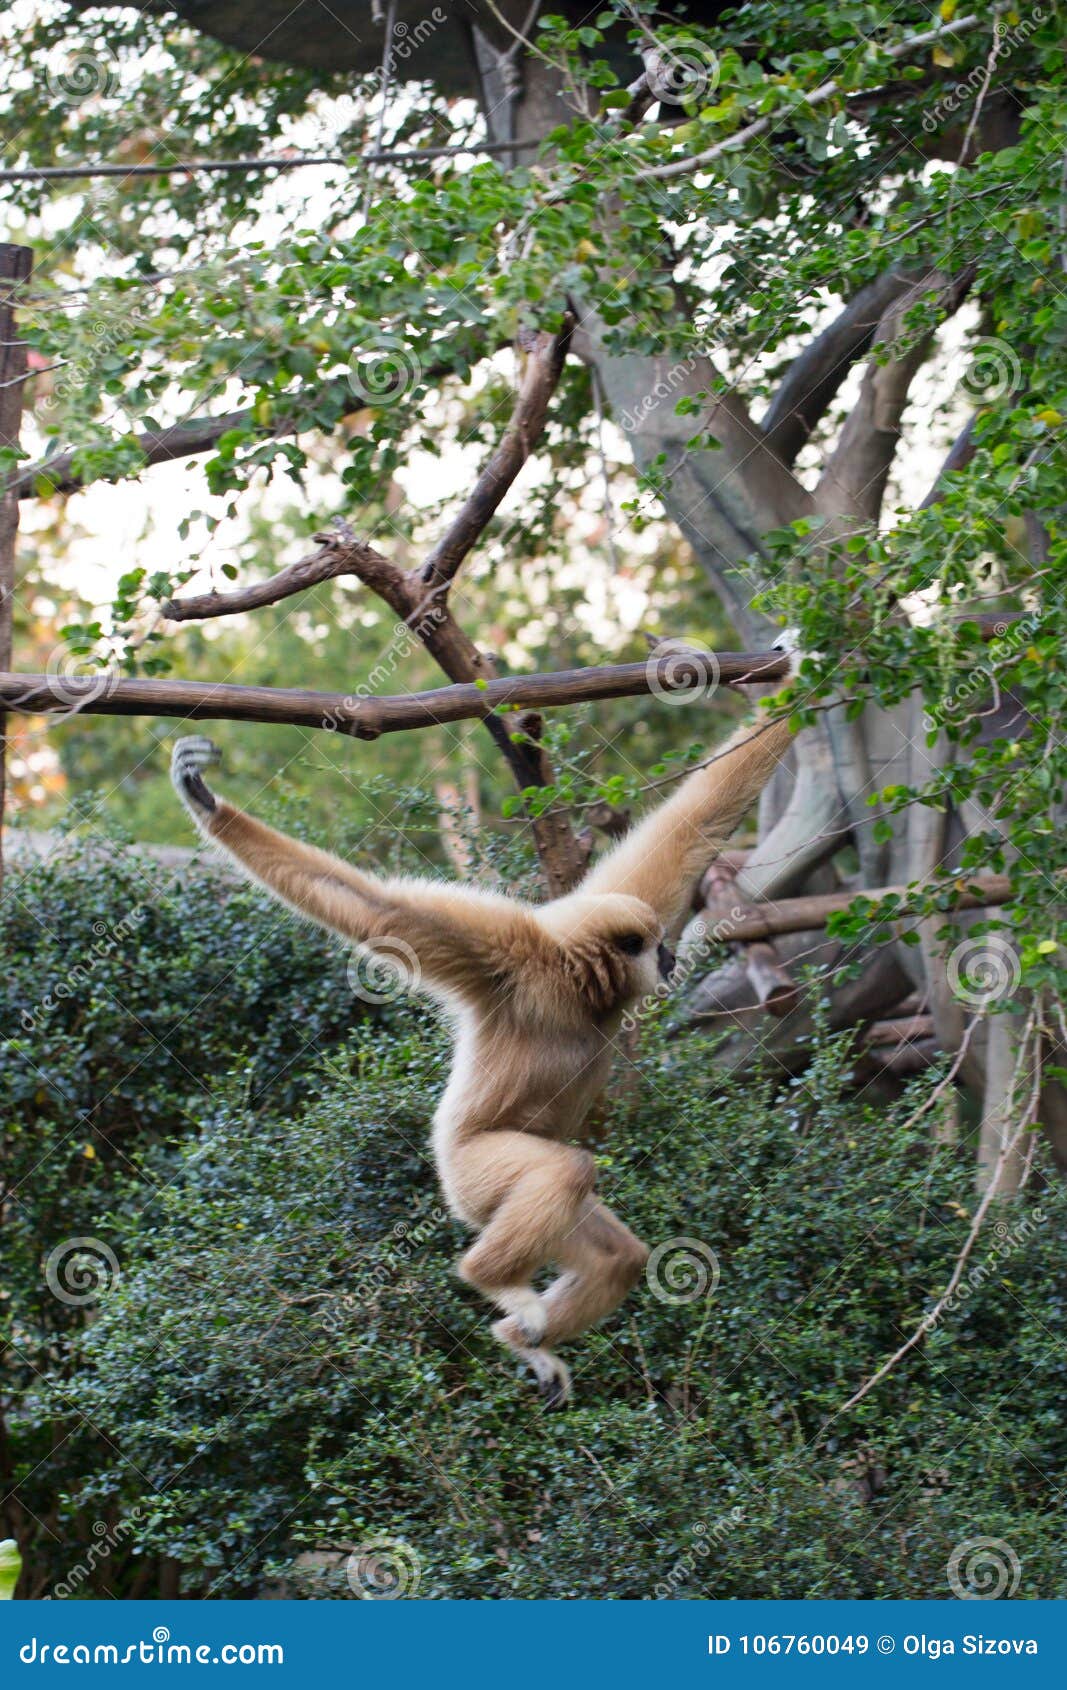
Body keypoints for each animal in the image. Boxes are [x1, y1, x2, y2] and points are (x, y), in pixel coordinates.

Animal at [169, 651, 798, 1407]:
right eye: (654, 947)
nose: (672, 957)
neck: (574, 987)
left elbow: (695, 824)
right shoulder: (505, 951)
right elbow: (383, 911)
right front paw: (203, 801)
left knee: (617, 1254)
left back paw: (519, 1335)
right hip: (473, 1177)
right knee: (562, 1170)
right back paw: (493, 1282)